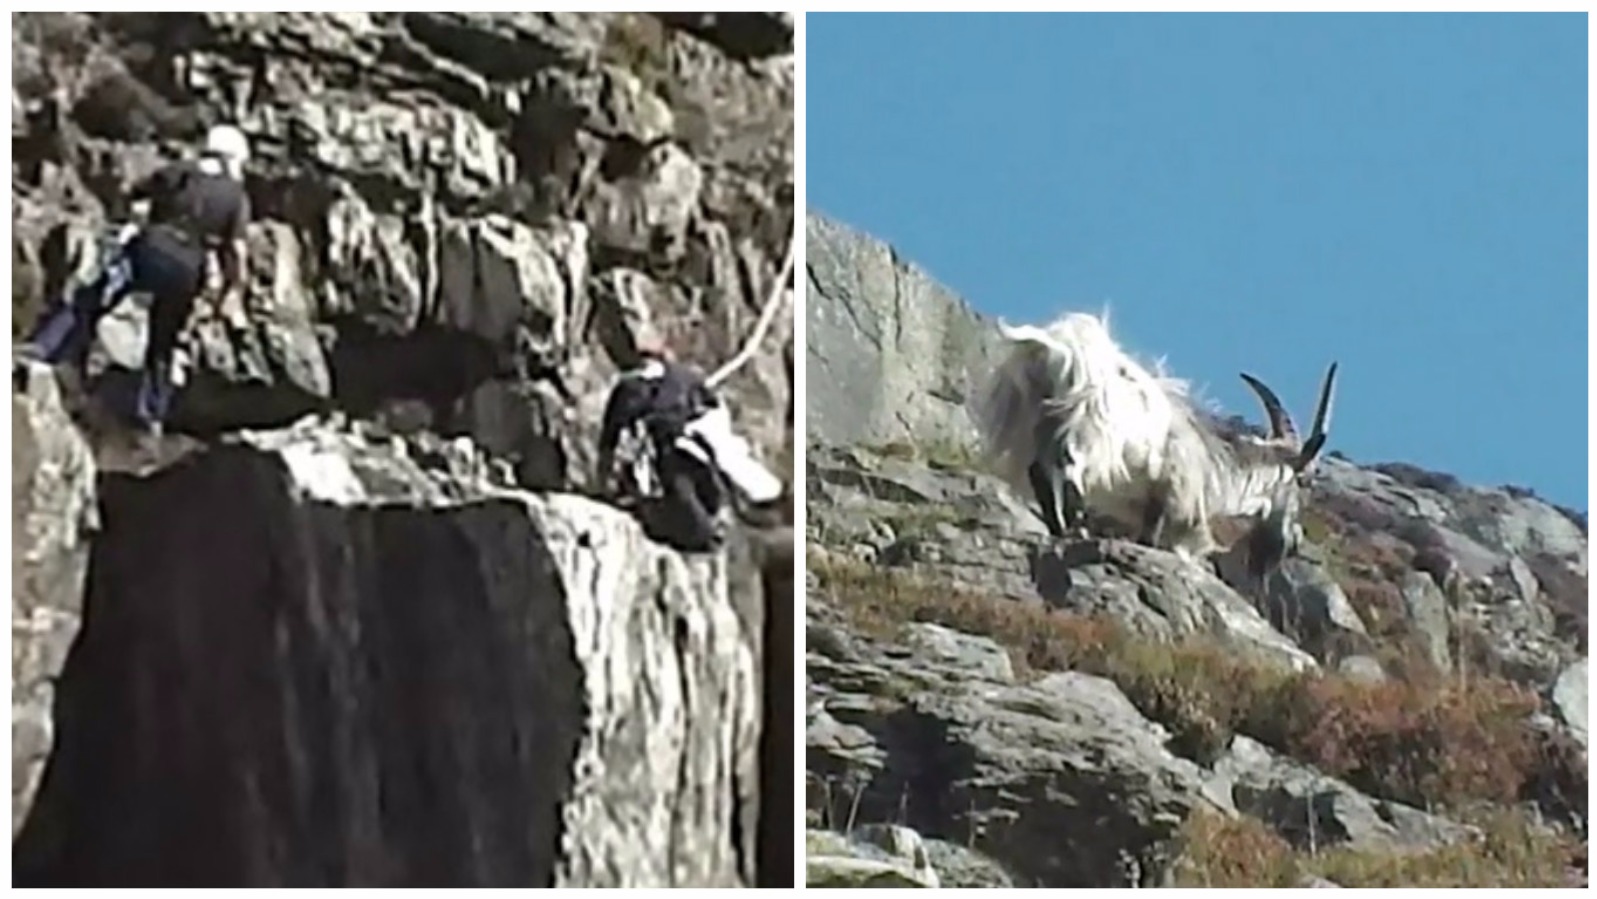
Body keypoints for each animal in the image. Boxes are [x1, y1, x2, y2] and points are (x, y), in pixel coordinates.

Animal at [971, 310, 1336, 571]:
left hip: (1035, 421)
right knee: (1070, 472)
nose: (1291, 544)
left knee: (1038, 472)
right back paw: (1076, 531)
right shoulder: (1170, 492)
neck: (1215, 465)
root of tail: (1057, 348)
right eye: (1304, 483)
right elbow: (1152, 536)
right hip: (1088, 430)